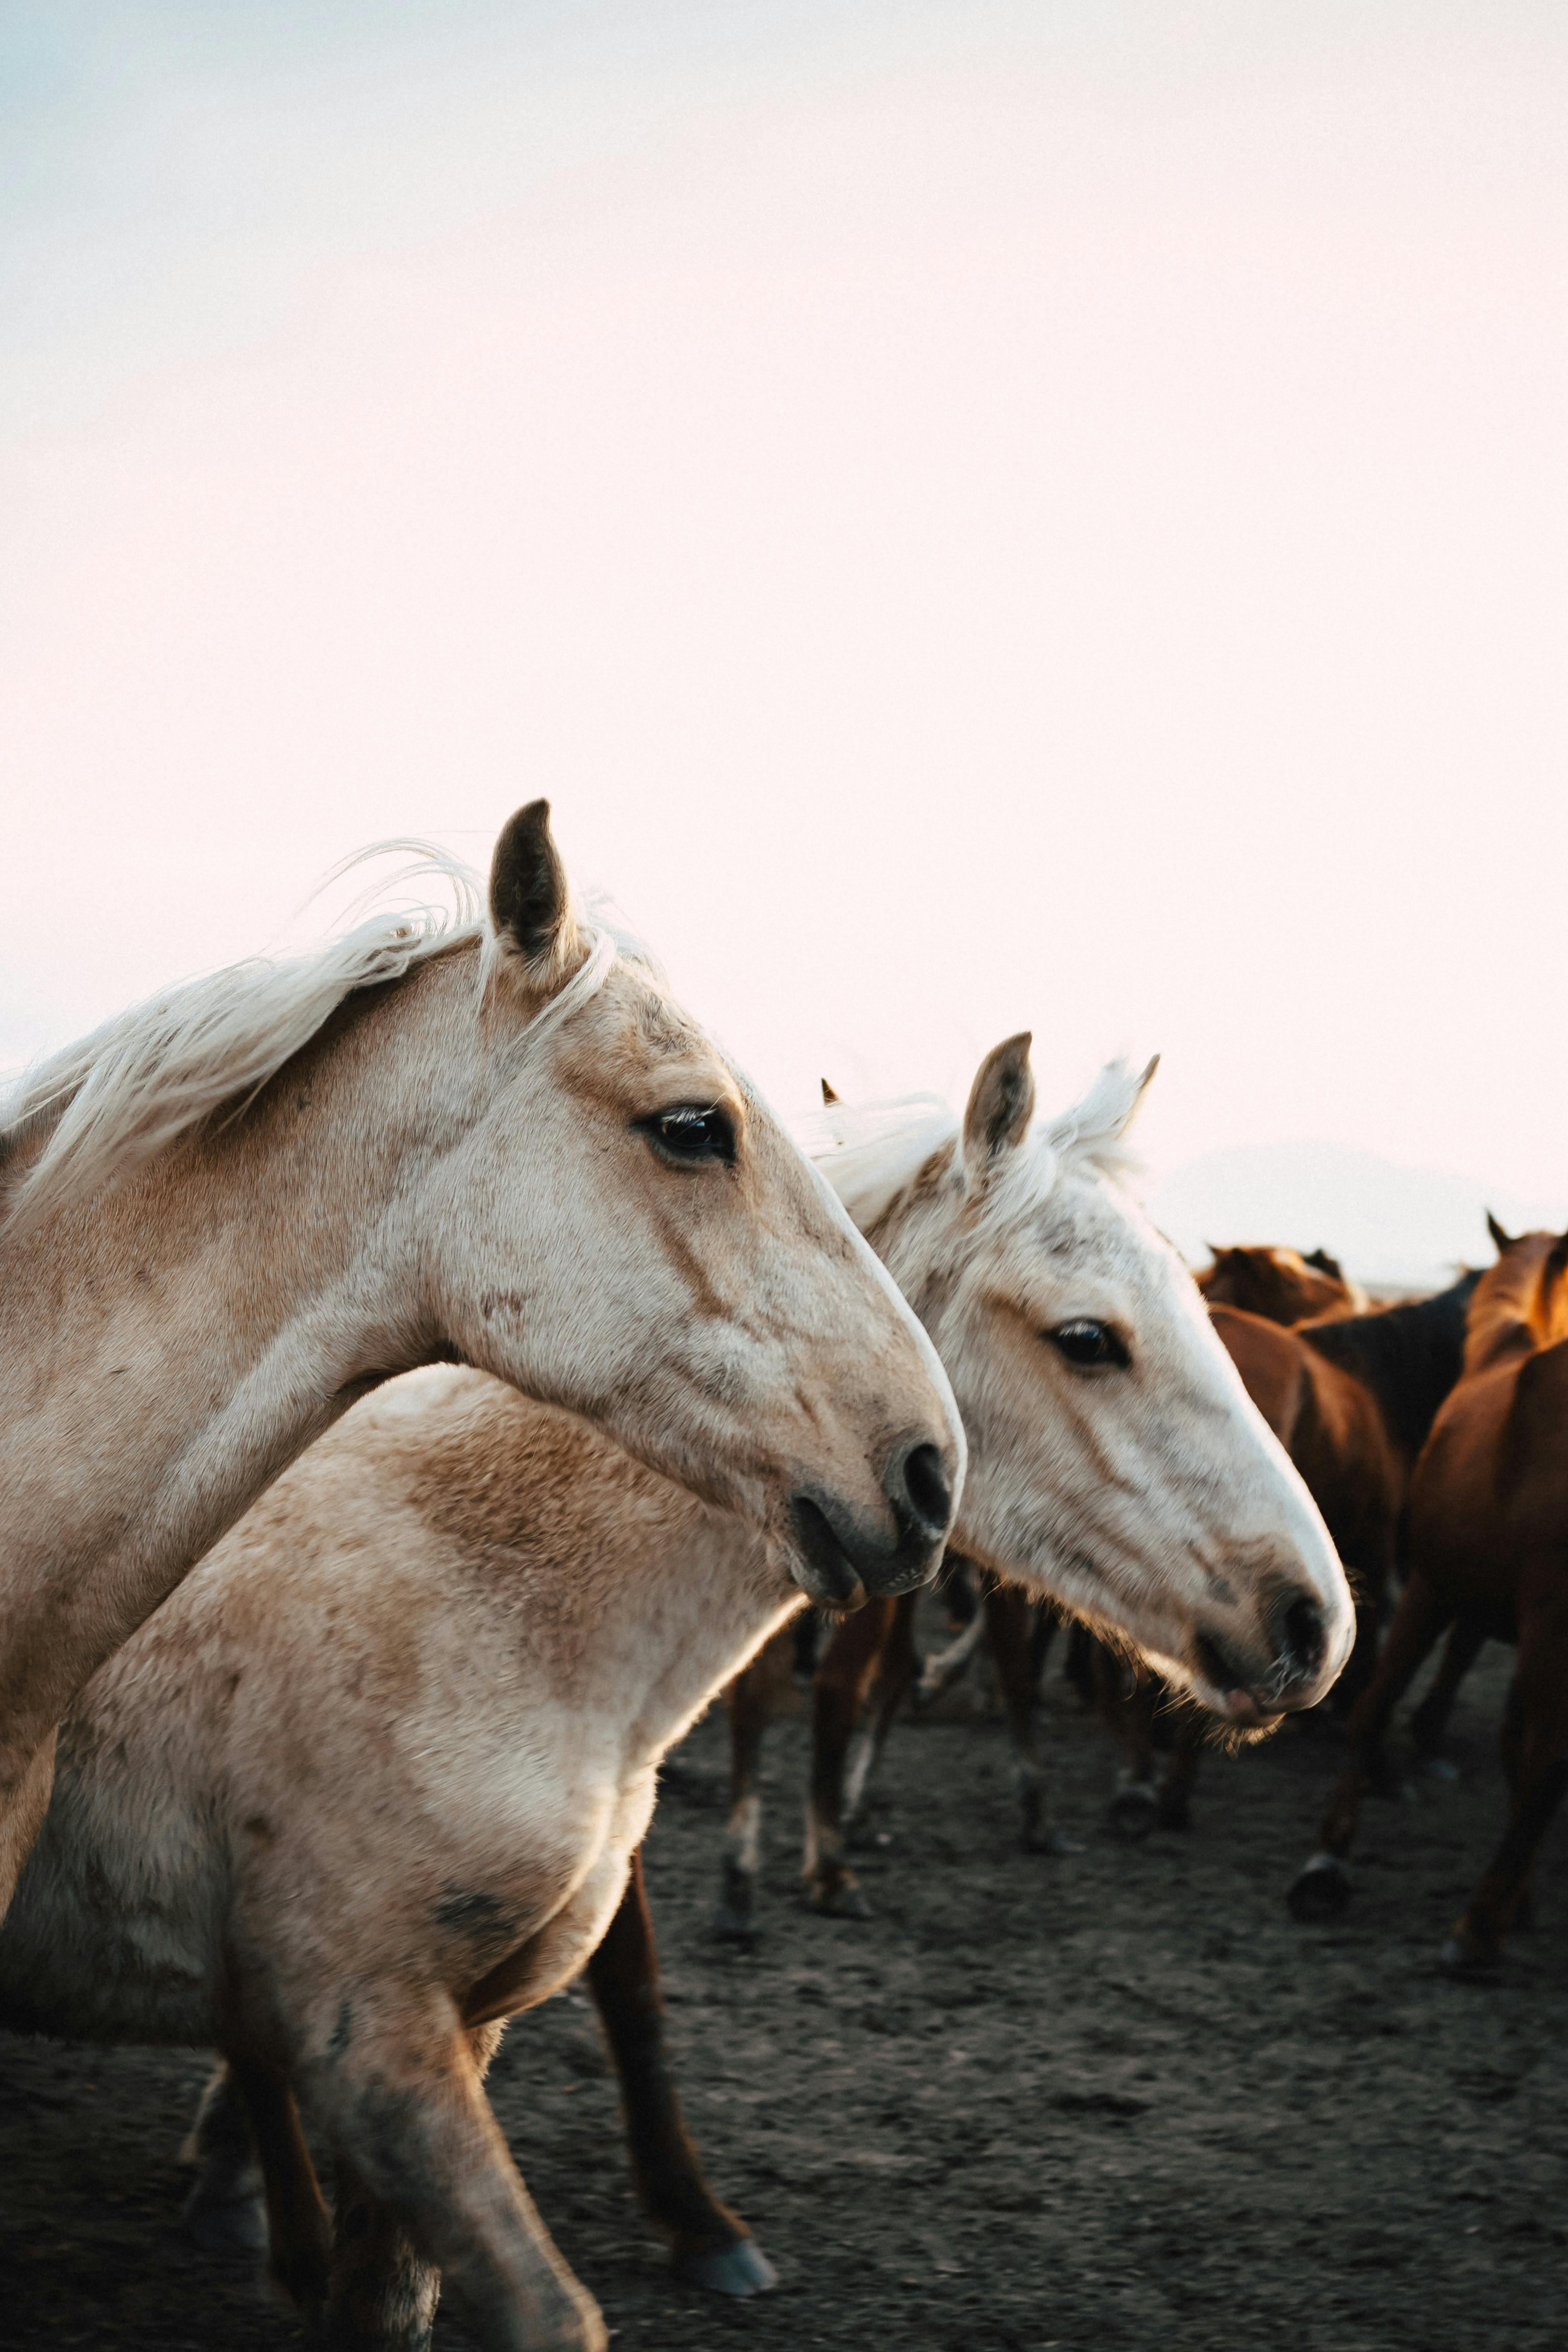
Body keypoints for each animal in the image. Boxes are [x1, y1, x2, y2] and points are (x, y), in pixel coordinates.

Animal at [1288, 1223, 1568, 1973]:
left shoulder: (1432, 1589)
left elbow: (1375, 1705)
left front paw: (1327, 1858)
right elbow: (1505, 1741)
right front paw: (1523, 1899)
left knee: (1546, 1764)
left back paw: (1475, 1928)